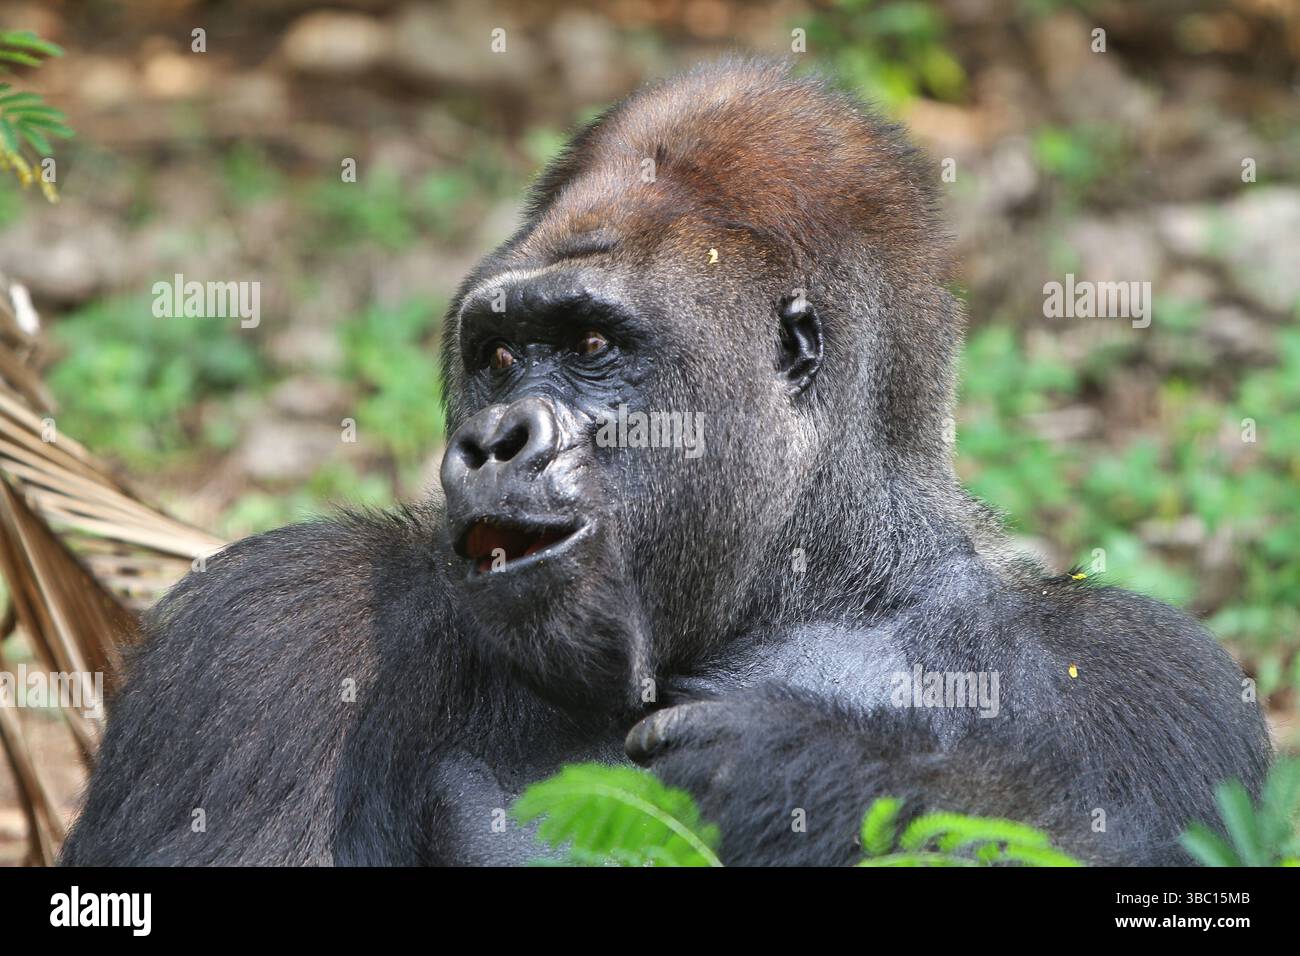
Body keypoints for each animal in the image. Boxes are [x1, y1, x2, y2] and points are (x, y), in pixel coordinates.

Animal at [61, 58, 1270, 866]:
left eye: (593, 345)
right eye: (499, 356)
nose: (492, 439)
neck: (800, 589)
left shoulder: (1155, 680)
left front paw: (819, 776)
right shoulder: (263, 639)